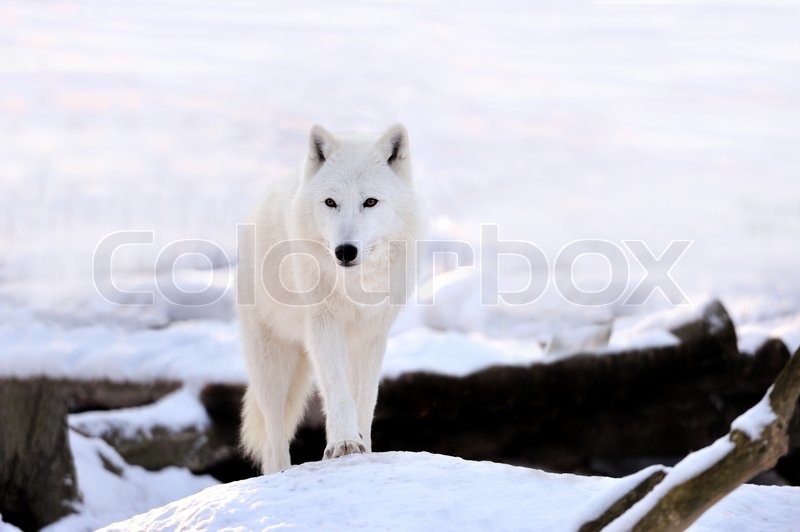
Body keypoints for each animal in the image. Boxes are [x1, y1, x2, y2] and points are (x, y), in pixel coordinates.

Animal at [238, 123, 422, 474]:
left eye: (370, 202)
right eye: (330, 202)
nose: (345, 251)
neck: (354, 287)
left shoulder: (372, 336)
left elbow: (364, 399)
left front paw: (363, 448)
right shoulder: (323, 325)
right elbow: (336, 391)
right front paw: (344, 444)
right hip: (271, 367)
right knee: (273, 439)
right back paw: (280, 472)